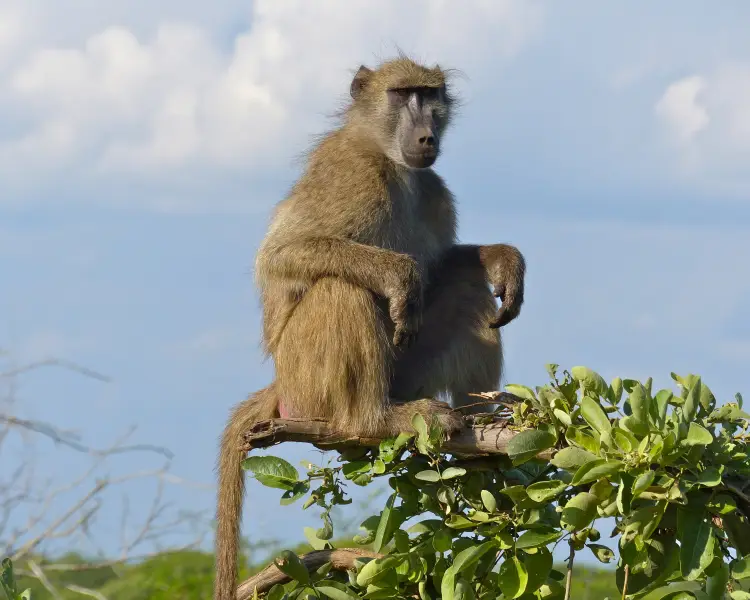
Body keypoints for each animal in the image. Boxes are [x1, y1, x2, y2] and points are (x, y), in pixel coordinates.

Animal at [214, 56, 526, 599]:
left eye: (429, 93)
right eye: (401, 95)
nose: (426, 136)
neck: (392, 161)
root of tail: (279, 382)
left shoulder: (434, 191)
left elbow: (447, 264)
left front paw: (502, 260)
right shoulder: (351, 175)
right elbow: (282, 255)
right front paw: (399, 276)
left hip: (408, 374)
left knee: (467, 288)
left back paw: (483, 423)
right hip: (308, 376)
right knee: (342, 287)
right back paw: (375, 419)